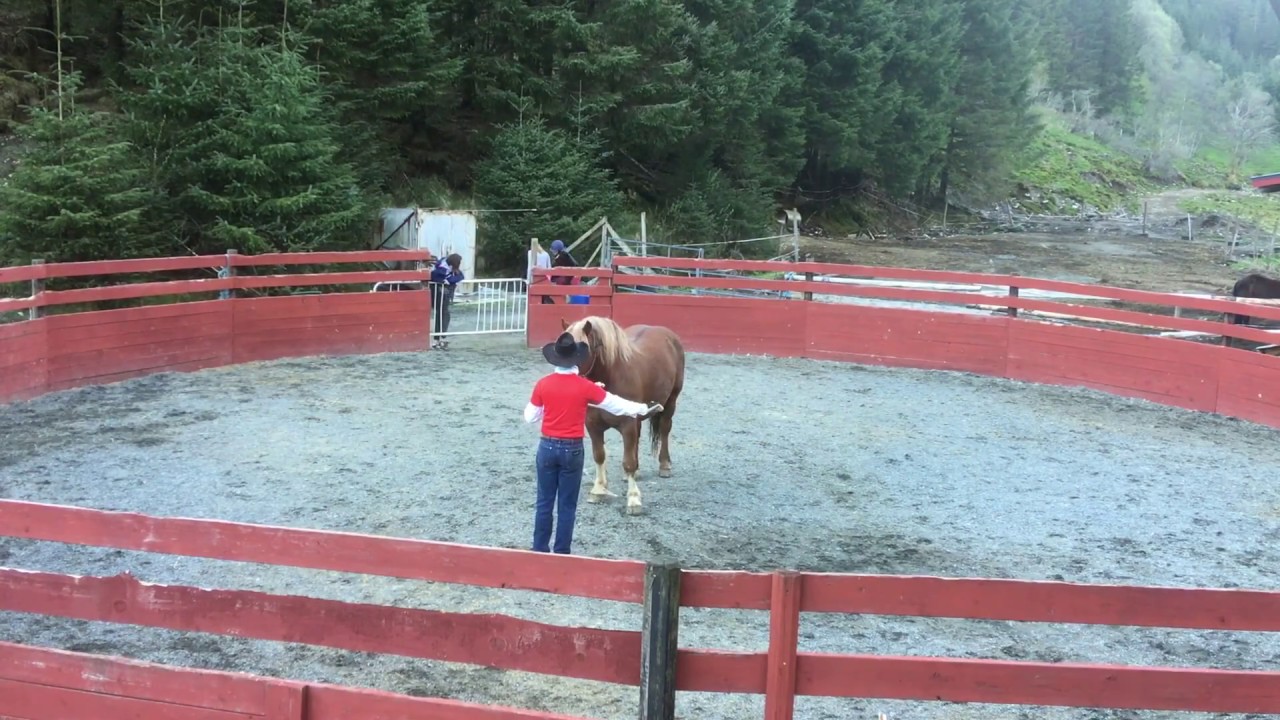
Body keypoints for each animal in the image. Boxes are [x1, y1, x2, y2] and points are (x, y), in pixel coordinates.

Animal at [562, 315, 685, 516]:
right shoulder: (593, 425)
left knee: (665, 429)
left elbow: (628, 462)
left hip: (670, 401)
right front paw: (598, 490)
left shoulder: (627, 425)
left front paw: (633, 500)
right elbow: (599, 456)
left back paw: (664, 465)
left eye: (581, 349)